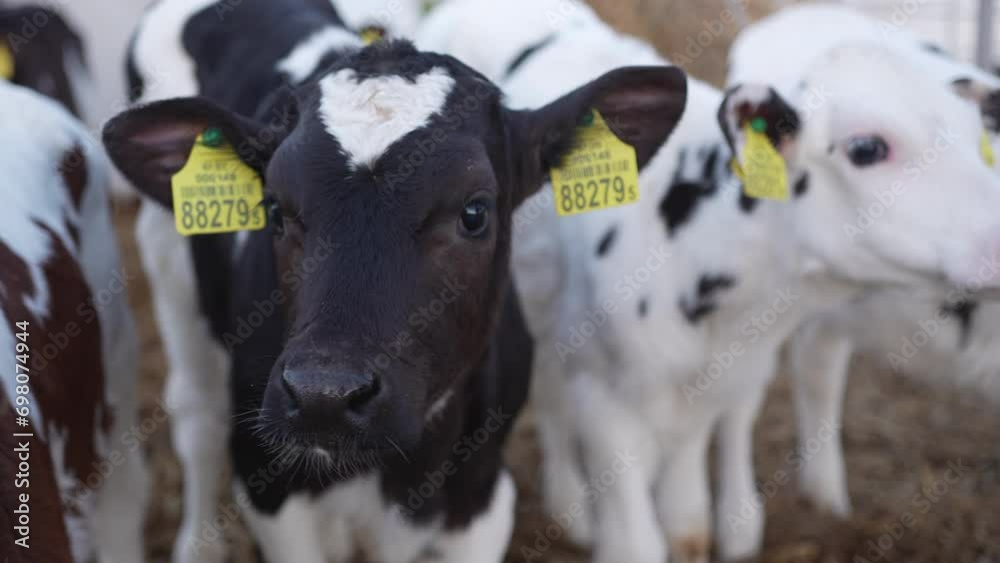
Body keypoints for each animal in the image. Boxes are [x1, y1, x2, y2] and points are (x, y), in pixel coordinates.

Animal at [106, 0, 687, 561]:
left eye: (474, 213)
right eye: (273, 209)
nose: (323, 395)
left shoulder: (481, 494)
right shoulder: (267, 487)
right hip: (168, 269)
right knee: (196, 415)